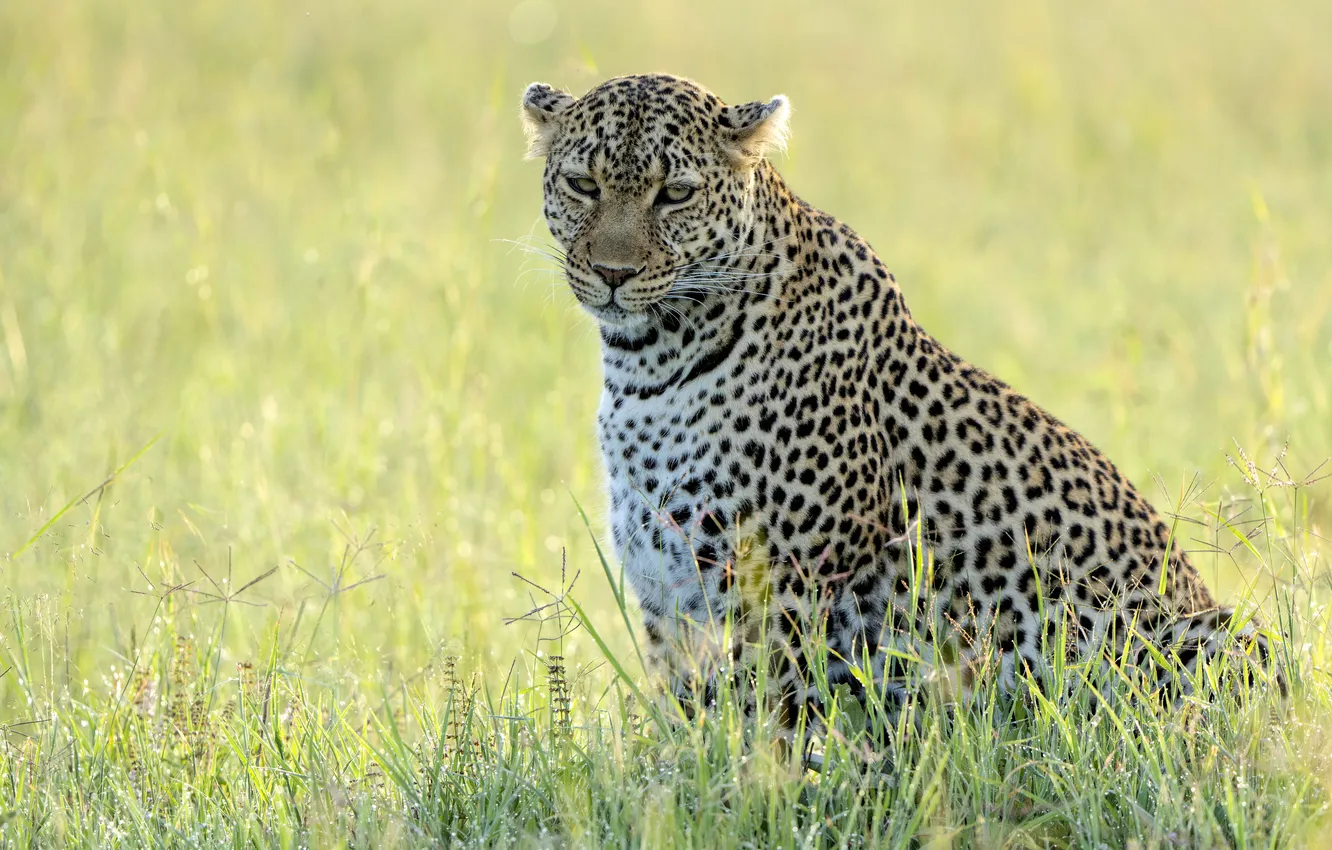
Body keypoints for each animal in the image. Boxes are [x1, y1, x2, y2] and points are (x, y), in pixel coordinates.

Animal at [518, 73, 1278, 737]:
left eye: (675, 194)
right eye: (583, 184)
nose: (613, 274)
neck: (647, 363)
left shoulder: (790, 581)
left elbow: (770, 719)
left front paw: (761, 788)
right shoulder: (668, 593)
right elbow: (684, 724)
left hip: (1222, 639)